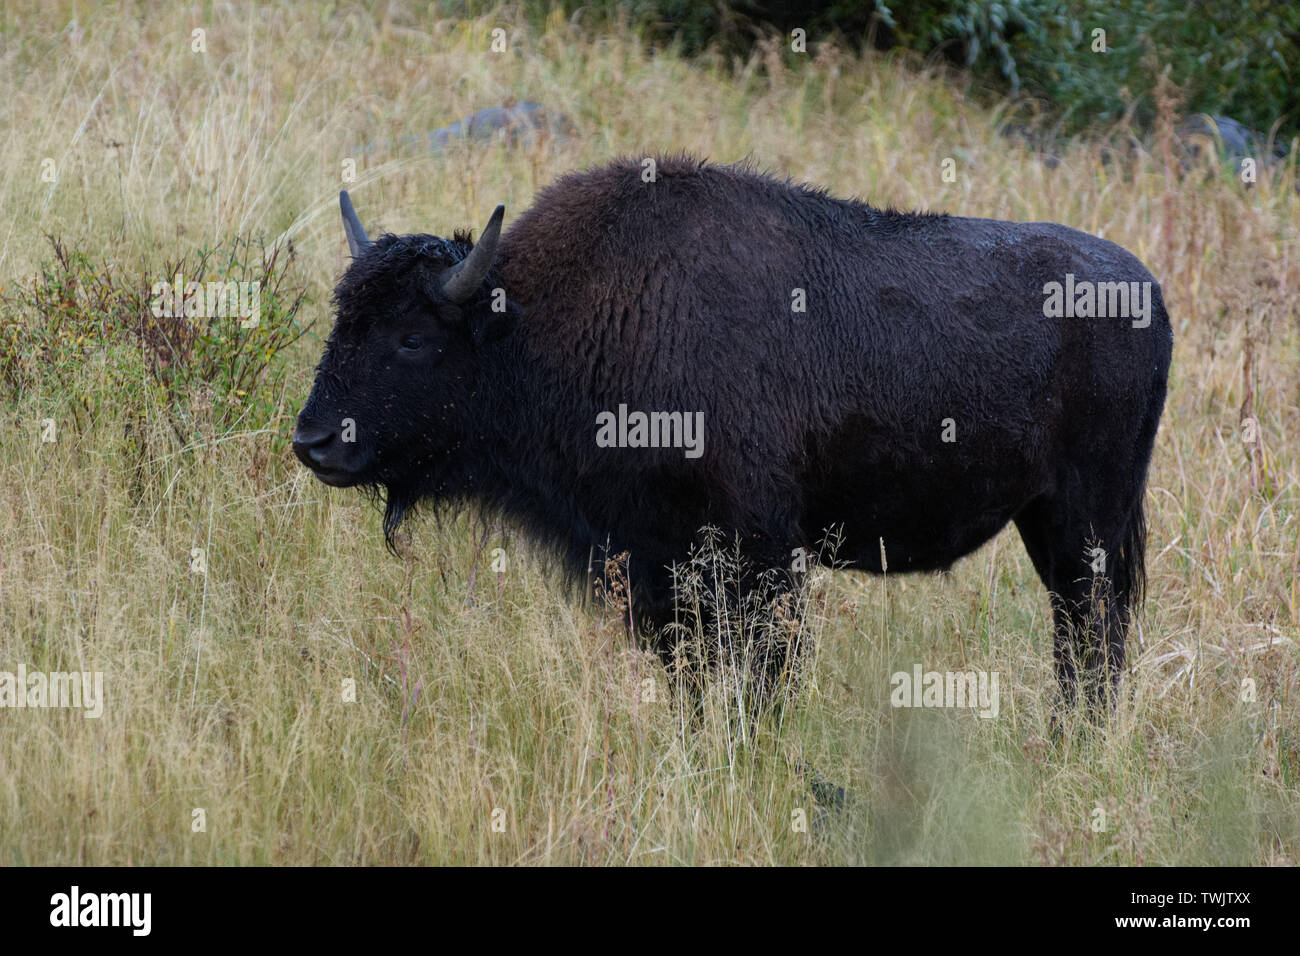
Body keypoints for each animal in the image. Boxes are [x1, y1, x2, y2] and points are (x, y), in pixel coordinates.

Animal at [294, 155, 1172, 711]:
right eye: (343, 318)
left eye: (412, 337)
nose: (314, 443)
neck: (541, 322)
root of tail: (1146, 290)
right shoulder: (655, 568)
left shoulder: (757, 558)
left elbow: (760, 677)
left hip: (1087, 522)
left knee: (1091, 636)